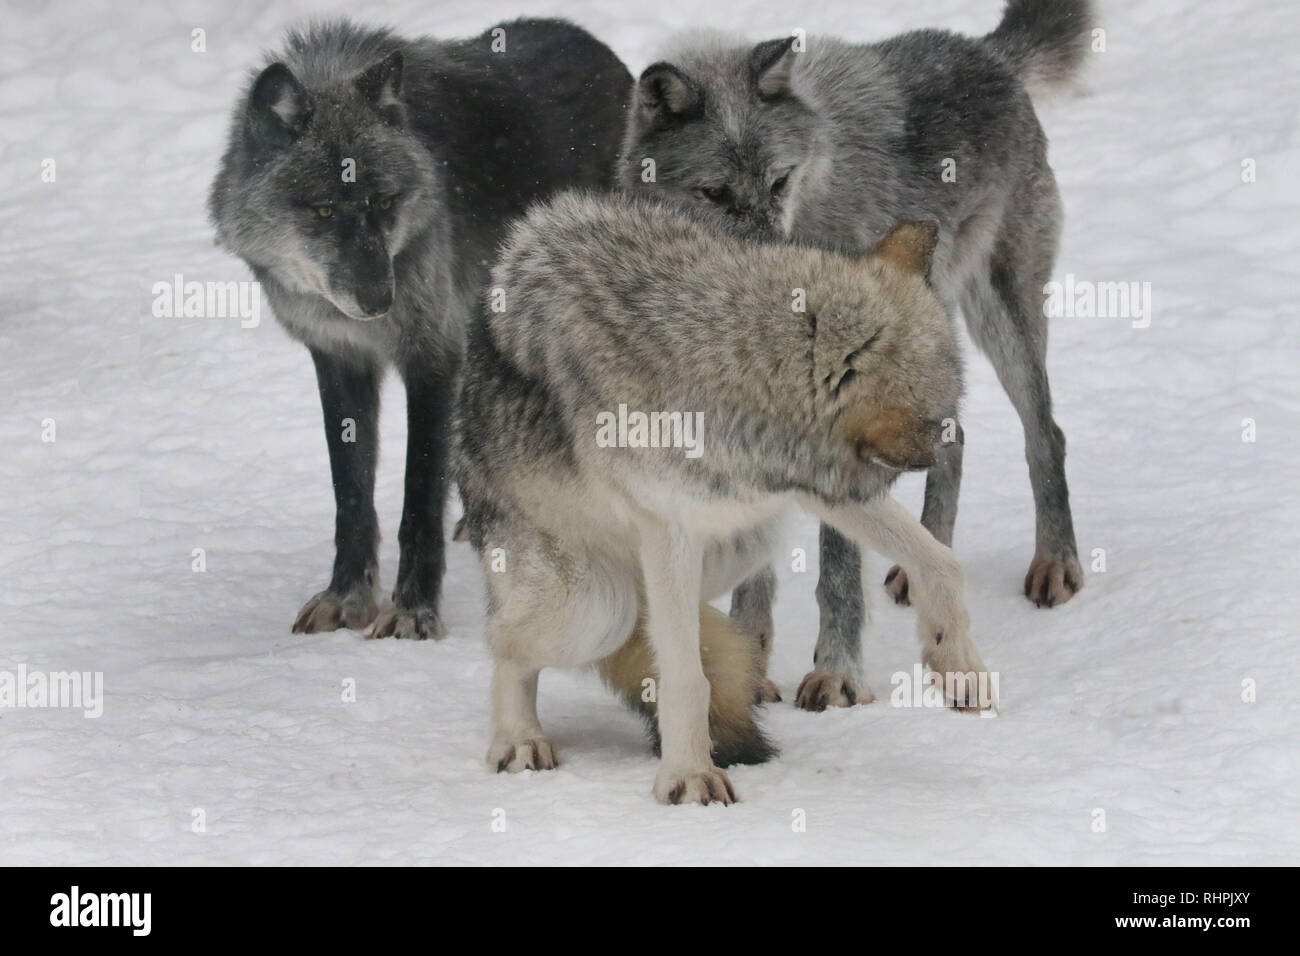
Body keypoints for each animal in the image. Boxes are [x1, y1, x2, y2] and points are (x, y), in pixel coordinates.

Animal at [209, 19, 631, 638]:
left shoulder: (433, 356)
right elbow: (351, 495)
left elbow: (419, 497)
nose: (378, 301)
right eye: (324, 210)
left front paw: (413, 611)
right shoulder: (339, 358)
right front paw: (346, 597)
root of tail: (602, 50)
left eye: (384, 201)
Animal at [457, 191, 994, 804]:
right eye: (945, 416)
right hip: (592, 607)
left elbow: (941, 561)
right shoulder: (669, 529)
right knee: (506, 644)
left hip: (741, 547)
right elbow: (686, 679)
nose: (958, 445)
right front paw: (690, 776)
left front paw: (957, 665)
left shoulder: (812, 486)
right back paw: (518, 739)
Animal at [618, 0, 1092, 707]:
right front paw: (750, 667)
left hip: (1002, 317)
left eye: (779, 181)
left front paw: (837, 675)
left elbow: (837, 567)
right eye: (714, 194)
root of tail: (986, 51)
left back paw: (1055, 563)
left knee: (1046, 435)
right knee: (955, 440)